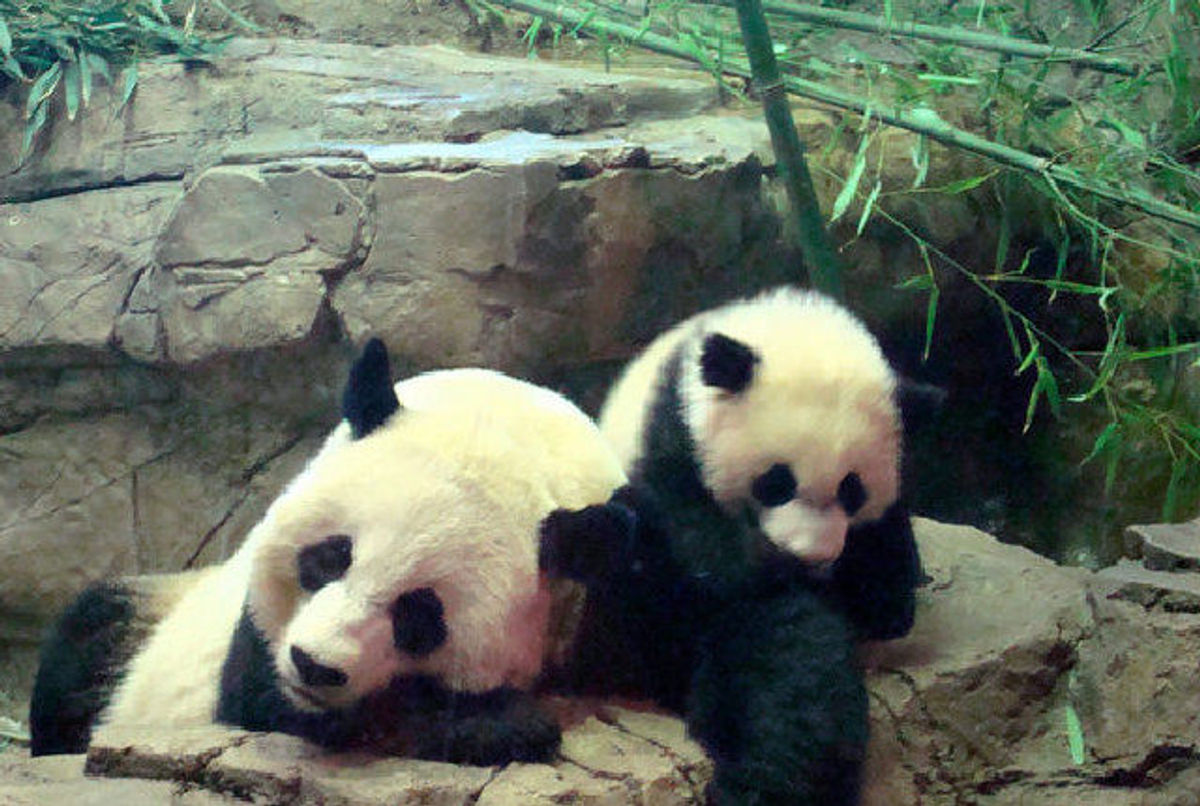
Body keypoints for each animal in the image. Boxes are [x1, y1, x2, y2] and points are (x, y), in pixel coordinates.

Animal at [30, 338, 626, 765]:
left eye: (419, 616)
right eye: (329, 557)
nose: (313, 666)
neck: (517, 427)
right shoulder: (257, 633)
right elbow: (264, 700)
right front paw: (501, 726)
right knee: (89, 638)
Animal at [539, 287, 924, 805]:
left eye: (853, 490)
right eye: (776, 481)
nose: (809, 557)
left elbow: (888, 599)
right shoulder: (671, 447)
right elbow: (701, 544)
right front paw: (757, 568)